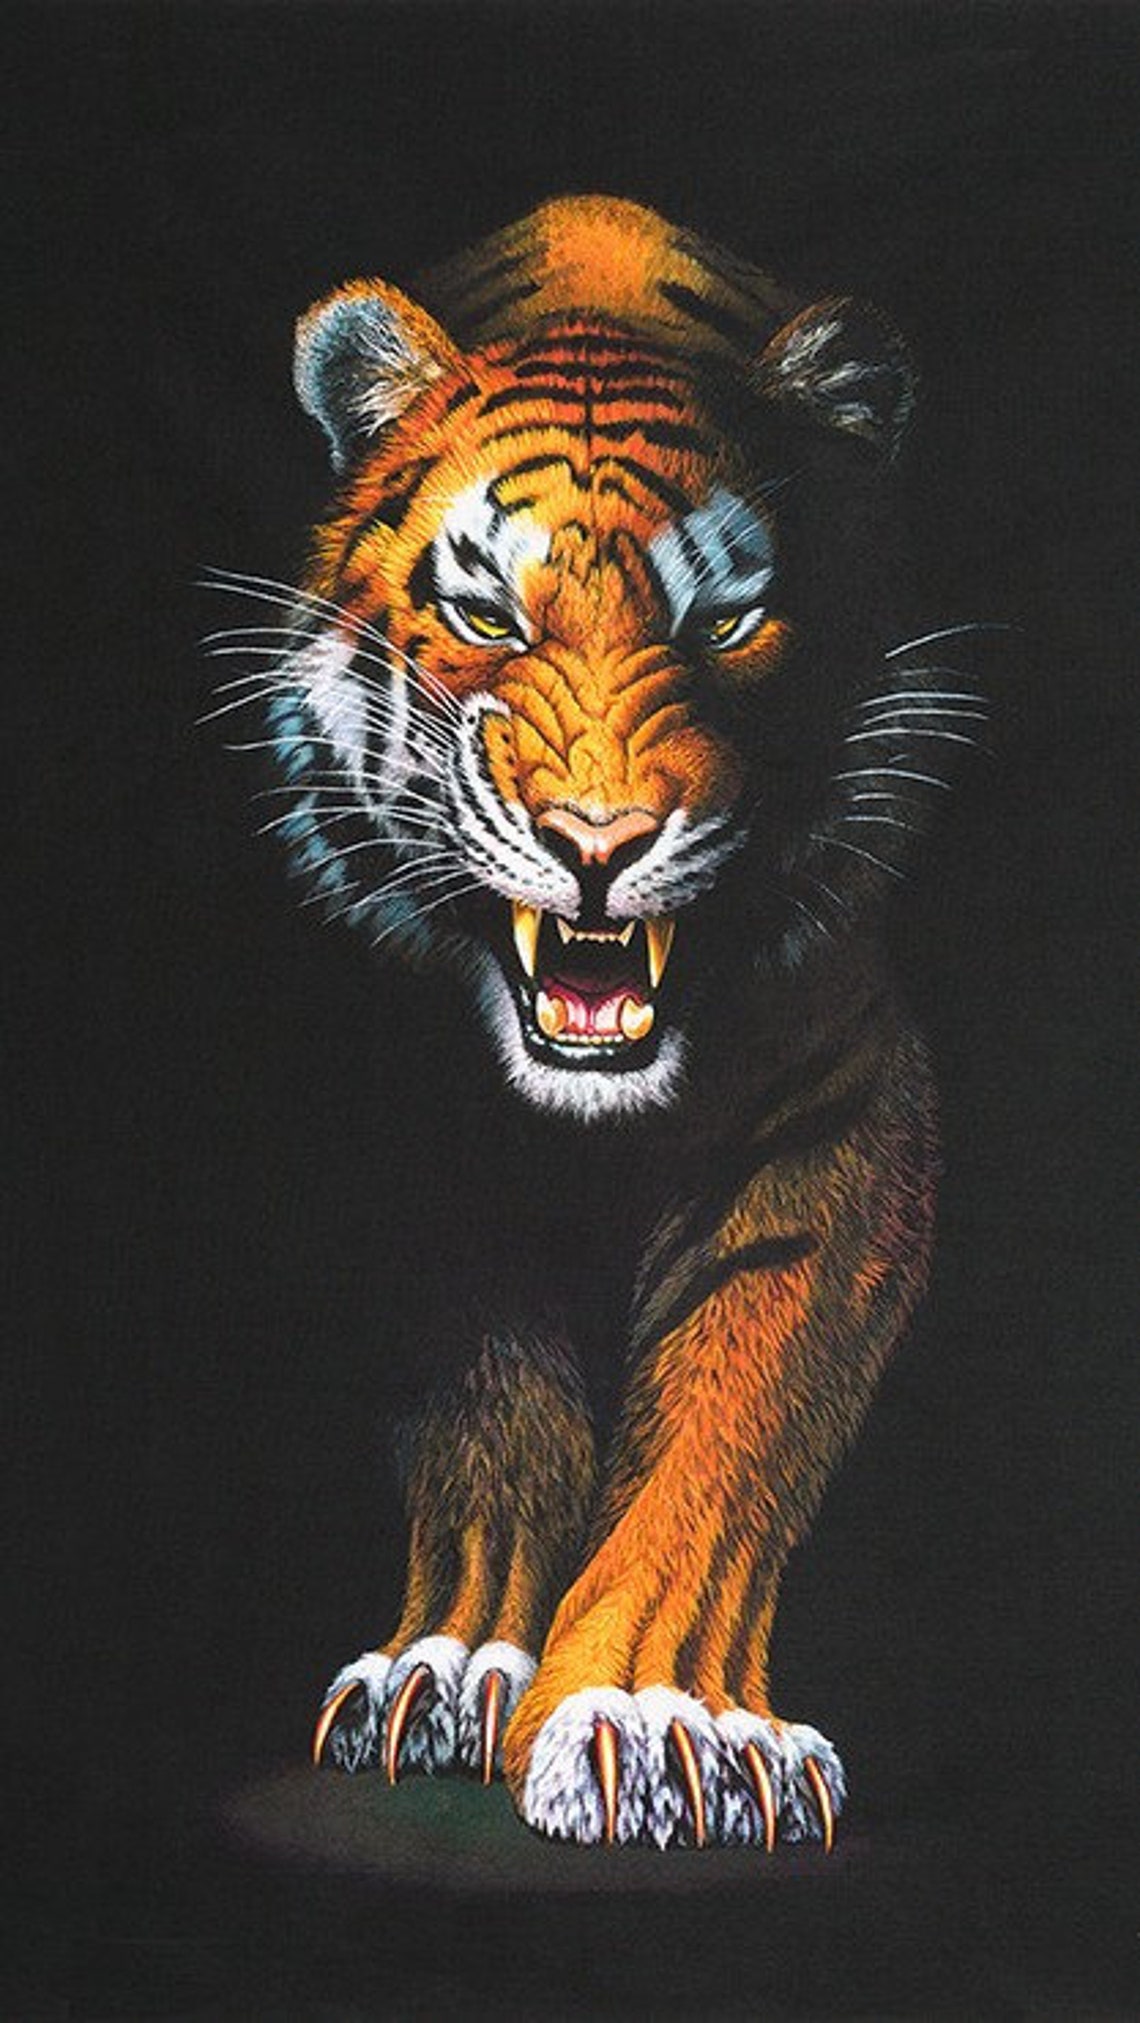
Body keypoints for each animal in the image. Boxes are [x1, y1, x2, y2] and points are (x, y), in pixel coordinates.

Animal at [213, 196, 985, 1848]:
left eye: (728, 619)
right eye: (485, 608)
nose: (598, 839)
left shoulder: (845, 1119)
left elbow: (726, 1440)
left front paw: (664, 1717)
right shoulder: (414, 1141)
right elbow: (490, 1417)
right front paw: (453, 1666)